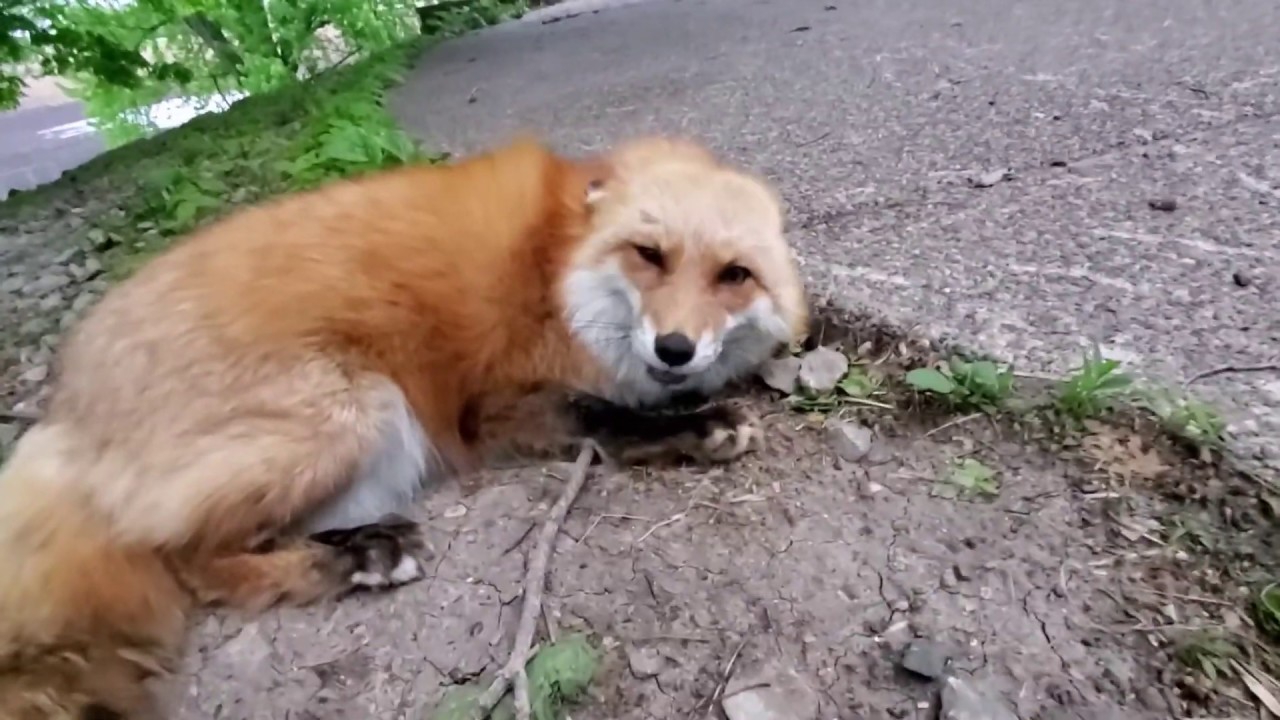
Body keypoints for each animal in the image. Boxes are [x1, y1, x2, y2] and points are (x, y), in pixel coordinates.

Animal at [0, 134, 808, 719]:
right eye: (649, 256)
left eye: (734, 276)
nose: (675, 347)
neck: (556, 266)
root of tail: (64, 412)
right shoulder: (496, 406)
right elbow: (608, 415)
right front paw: (699, 423)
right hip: (356, 413)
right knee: (190, 561)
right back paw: (360, 557)